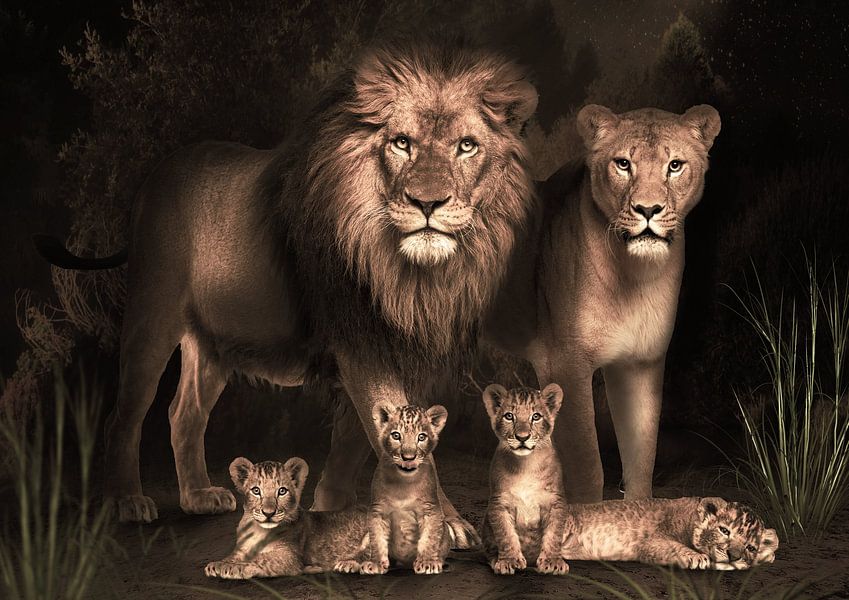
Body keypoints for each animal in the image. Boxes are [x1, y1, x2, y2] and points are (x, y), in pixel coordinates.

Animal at [36, 42, 538, 546]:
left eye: (466, 146)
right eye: (401, 143)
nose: (427, 203)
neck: (416, 274)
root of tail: (155, 177)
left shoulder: (409, 348)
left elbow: (364, 437)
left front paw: (332, 508)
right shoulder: (360, 342)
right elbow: (399, 438)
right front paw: (445, 522)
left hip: (215, 343)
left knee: (185, 413)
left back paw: (198, 496)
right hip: (151, 314)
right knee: (125, 414)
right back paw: (125, 501)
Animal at [482, 104, 722, 503]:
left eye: (675, 165)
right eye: (623, 163)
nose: (648, 209)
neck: (634, 275)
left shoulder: (641, 363)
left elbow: (642, 459)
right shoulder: (565, 361)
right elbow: (587, 468)